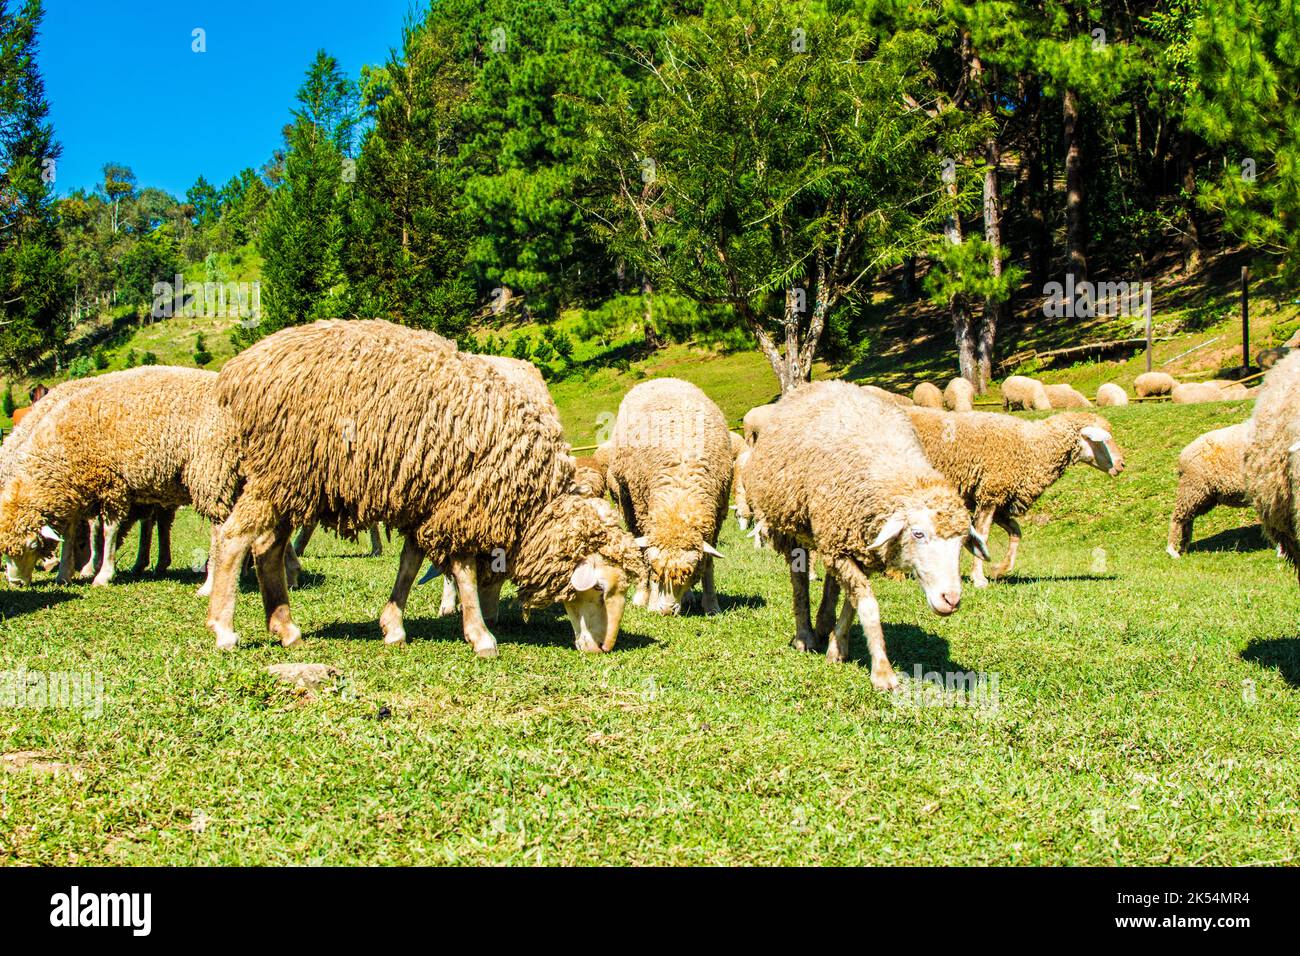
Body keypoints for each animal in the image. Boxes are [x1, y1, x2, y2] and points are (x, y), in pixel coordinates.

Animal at [208, 319, 642, 656]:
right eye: (599, 588)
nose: (603, 648)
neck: (531, 499)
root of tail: (239, 369)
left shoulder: (428, 503)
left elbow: (409, 564)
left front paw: (393, 626)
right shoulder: (462, 502)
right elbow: (463, 572)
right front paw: (481, 636)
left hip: (292, 483)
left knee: (266, 550)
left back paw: (286, 629)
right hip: (282, 470)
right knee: (234, 538)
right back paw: (224, 630)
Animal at [604, 377, 732, 615]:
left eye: (689, 573)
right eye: (656, 570)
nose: (665, 611)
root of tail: (663, 379)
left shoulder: (717, 515)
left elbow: (708, 564)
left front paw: (711, 605)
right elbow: (644, 558)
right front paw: (650, 600)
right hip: (627, 502)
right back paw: (642, 596)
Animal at [742, 381, 988, 689]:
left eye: (961, 542)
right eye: (918, 534)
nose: (951, 599)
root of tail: (823, 384)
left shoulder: (860, 546)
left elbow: (852, 602)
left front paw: (837, 647)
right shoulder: (843, 547)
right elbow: (868, 605)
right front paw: (882, 671)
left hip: (834, 535)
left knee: (832, 582)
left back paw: (824, 624)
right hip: (793, 527)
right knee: (799, 580)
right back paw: (805, 636)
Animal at [905, 406, 1125, 587]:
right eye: (1104, 440)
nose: (1122, 464)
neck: (1032, 448)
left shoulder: (1002, 500)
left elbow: (1016, 532)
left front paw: (1000, 570)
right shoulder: (991, 492)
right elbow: (983, 535)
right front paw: (979, 578)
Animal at [1167, 422, 1252, 557]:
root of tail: (1183, 454)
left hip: (1204, 497)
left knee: (1188, 519)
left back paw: (1184, 546)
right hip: (1192, 488)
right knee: (1177, 517)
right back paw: (1172, 550)